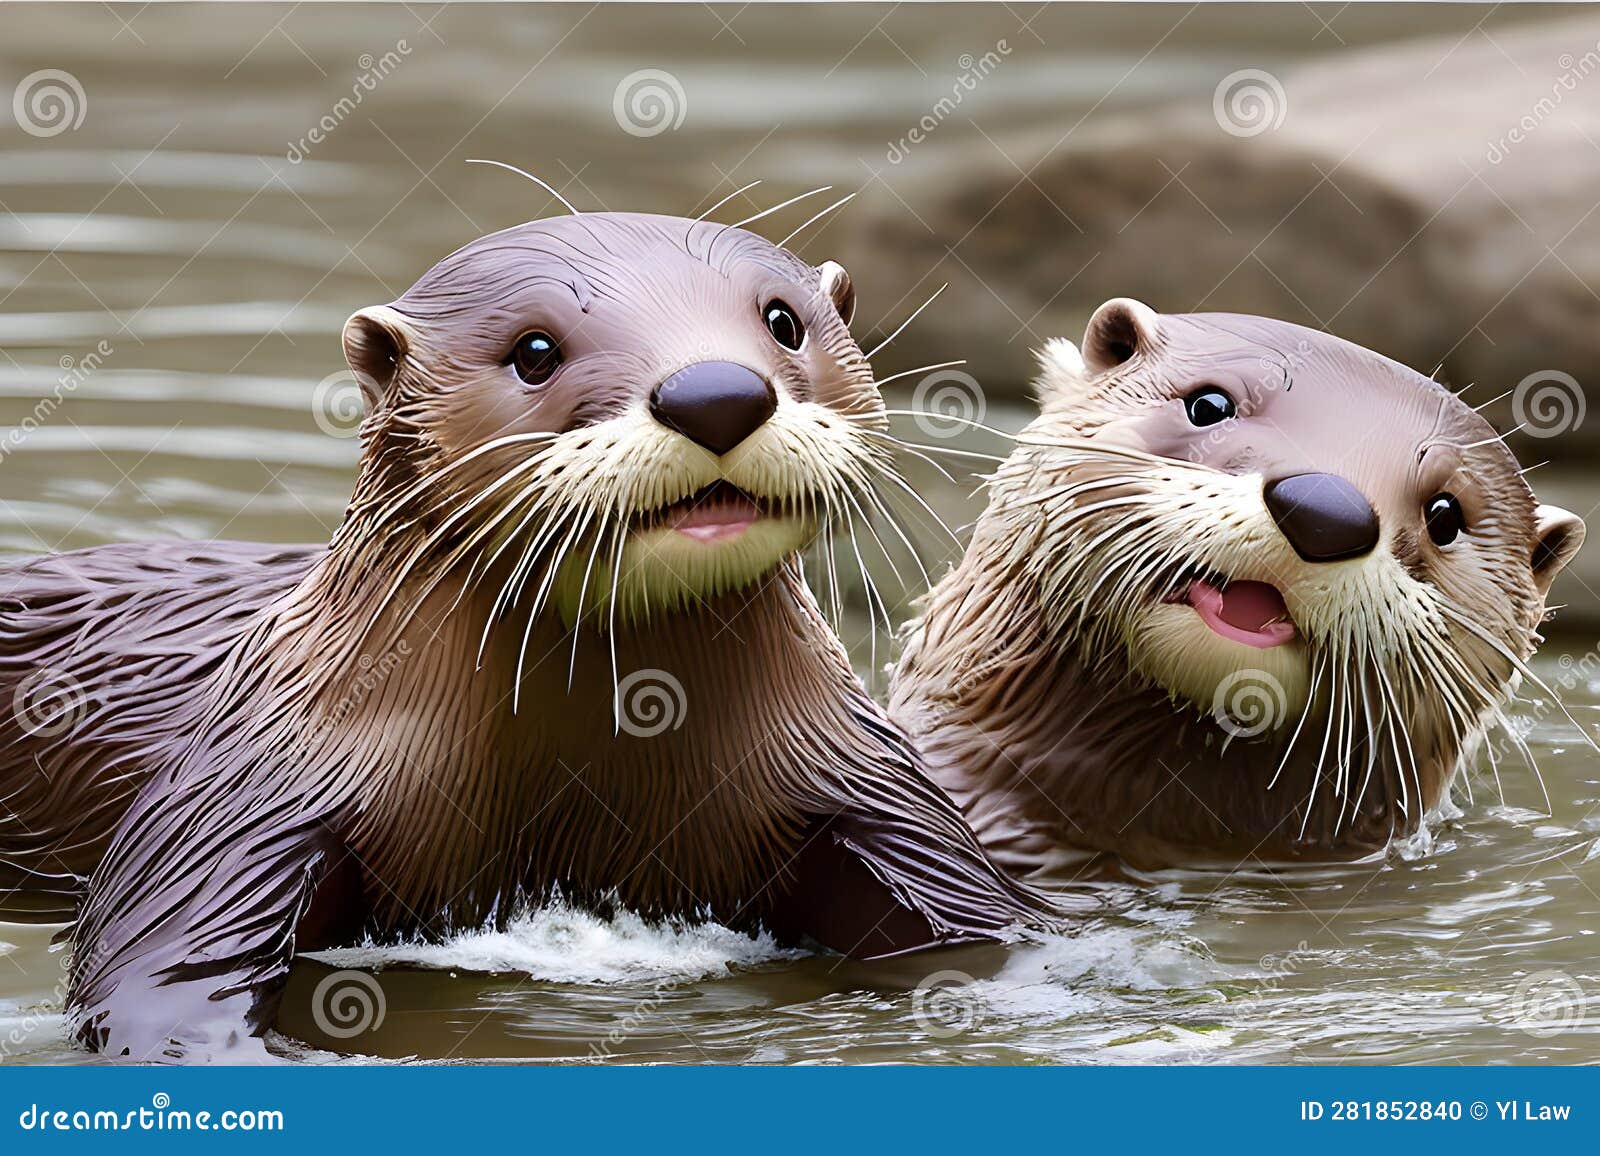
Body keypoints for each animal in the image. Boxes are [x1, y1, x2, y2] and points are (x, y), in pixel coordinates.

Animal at [1, 210, 1059, 1061]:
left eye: (784, 321)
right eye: (536, 349)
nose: (717, 391)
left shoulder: (875, 796)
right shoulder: (239, 799)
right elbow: (154, 972)